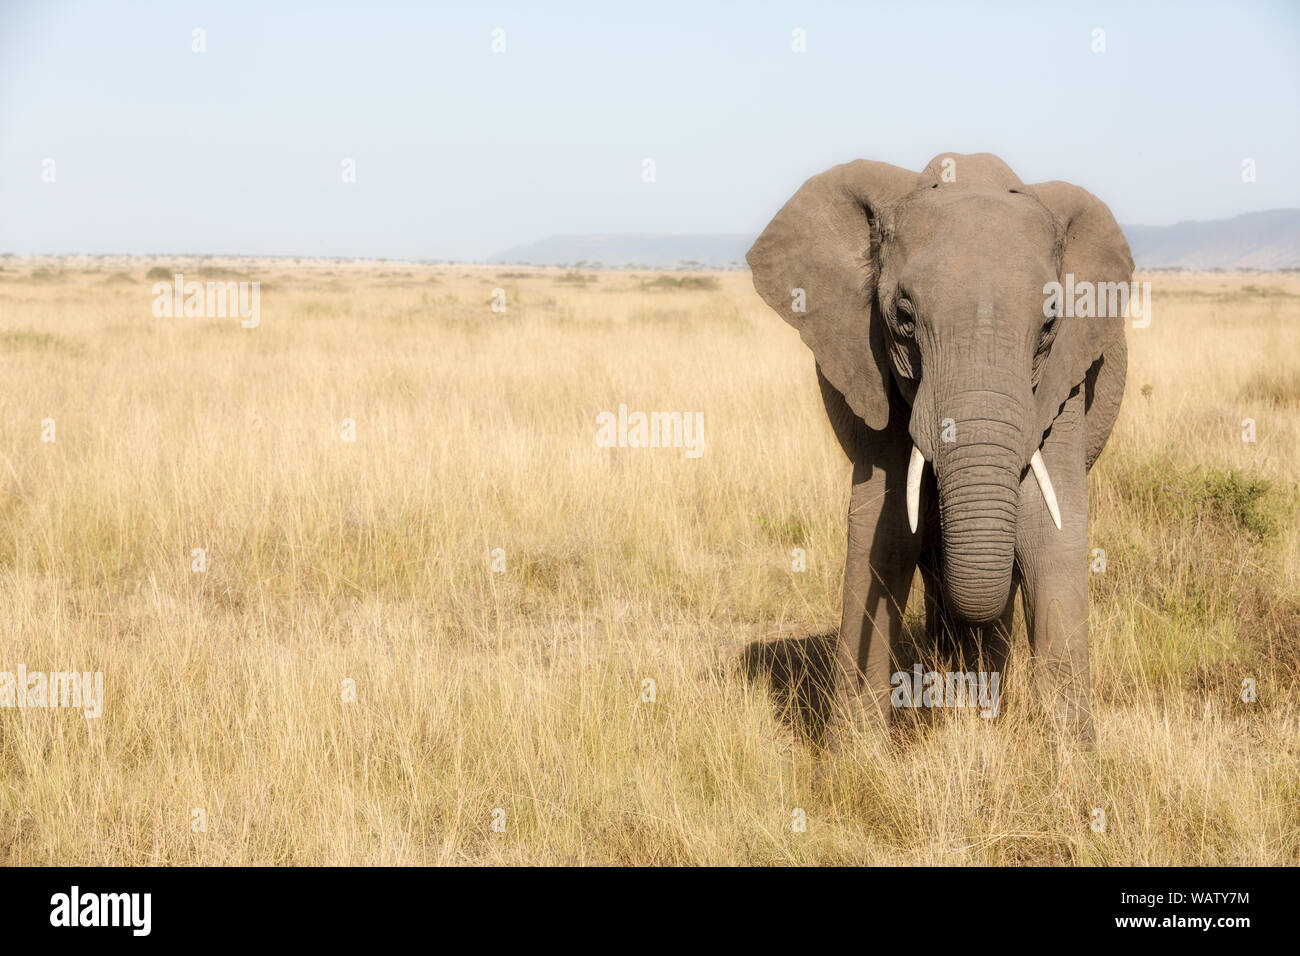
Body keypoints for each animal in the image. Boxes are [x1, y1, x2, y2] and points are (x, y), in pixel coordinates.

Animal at [746, 153, 1132, 742]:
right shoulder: (873, 363)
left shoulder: (1064, 380)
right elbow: (883, 533)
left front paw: (1073, 762)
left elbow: (1046, 534)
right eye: (904, 319)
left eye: (1049, 324)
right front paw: (854, 755)